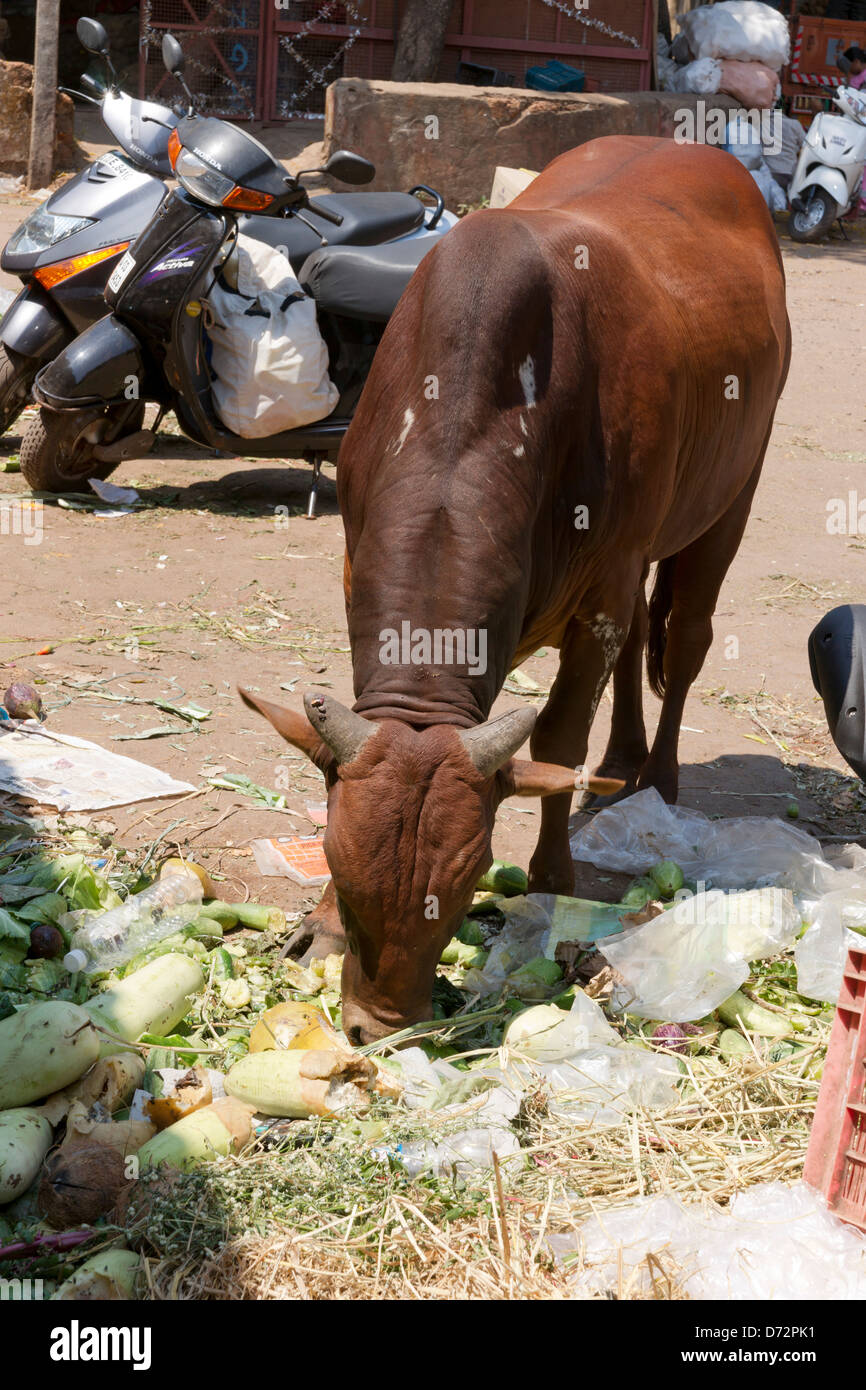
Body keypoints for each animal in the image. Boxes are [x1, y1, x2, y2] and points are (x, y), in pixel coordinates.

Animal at [241, 135, 791, 1045]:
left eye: (465, 889)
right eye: (341, 874)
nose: (381, 1028)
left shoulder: (603, 586)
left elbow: (560, 741)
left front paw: (550, 883)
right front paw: (316, 926)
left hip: (731, 494)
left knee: (684, 641)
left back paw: (657, 778)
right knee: (643, 646)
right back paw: (623, 761)